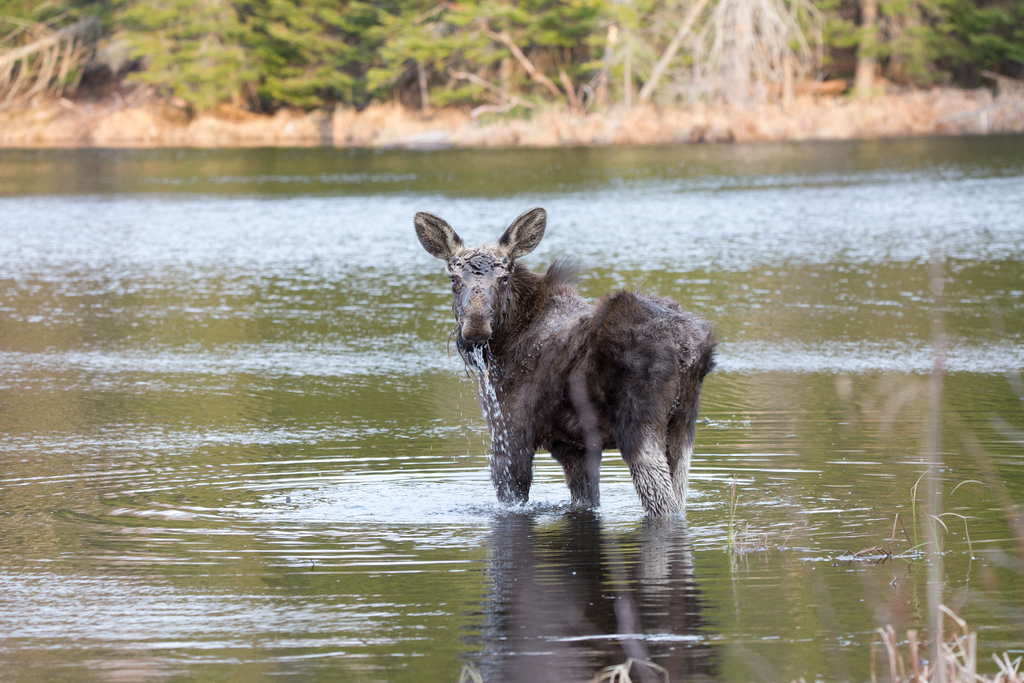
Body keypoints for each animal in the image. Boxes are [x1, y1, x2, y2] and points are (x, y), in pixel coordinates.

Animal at [415, 207, 716, 516]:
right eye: (453, 279)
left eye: (503, 279)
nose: (475, 331)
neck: (506, 342)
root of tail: (687, 348)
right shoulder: (574, 448)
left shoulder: (510, 434)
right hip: (683, 429)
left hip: (638, 427)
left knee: (665, 507)